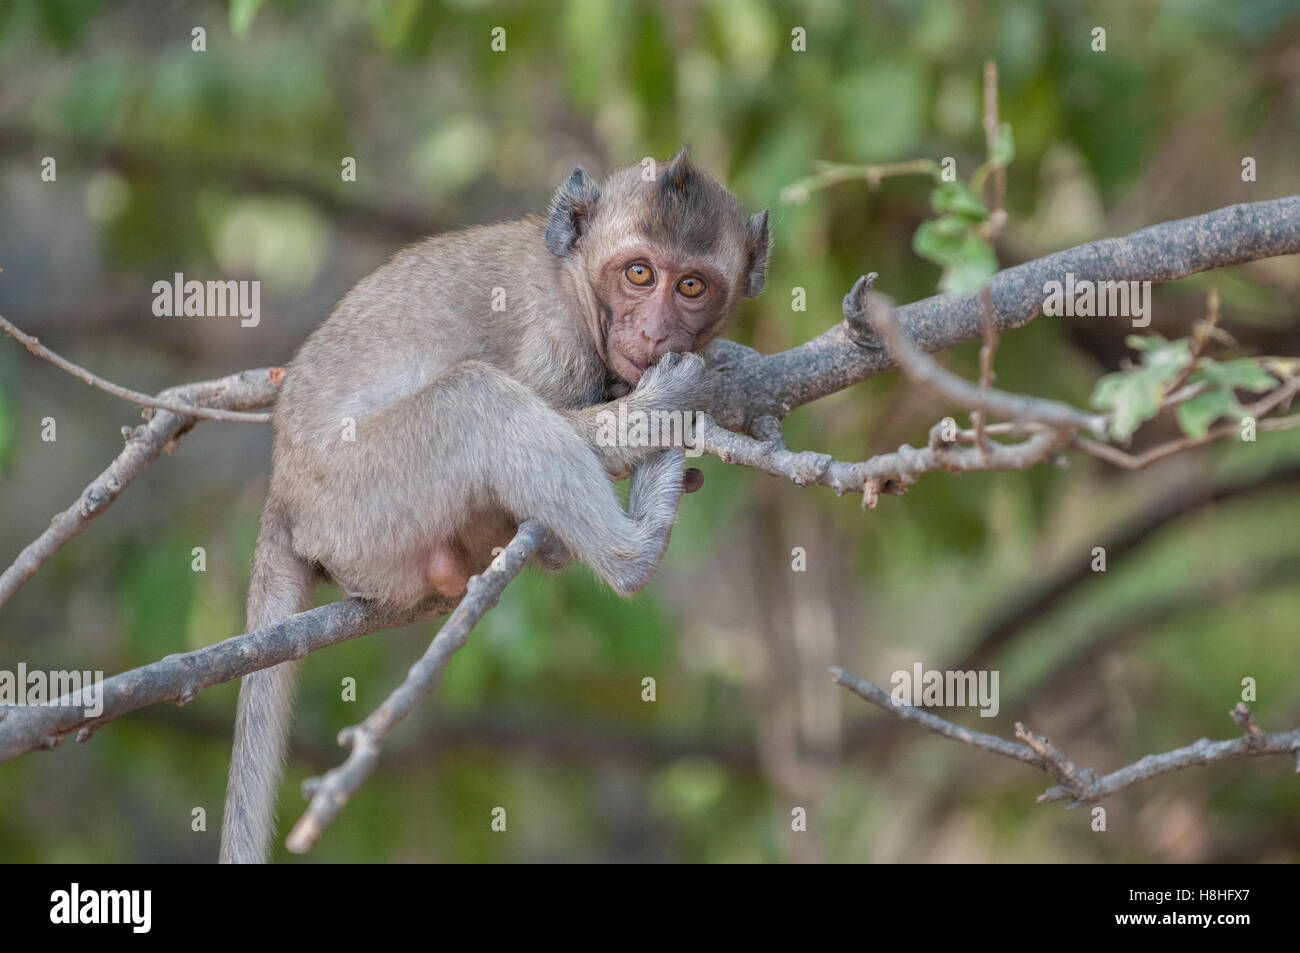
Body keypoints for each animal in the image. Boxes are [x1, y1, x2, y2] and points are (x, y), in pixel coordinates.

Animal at [219, 148, 770, 863]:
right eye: (639, 273)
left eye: (692, 287)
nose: (655, 333)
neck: (573, 280)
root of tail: (283, 492)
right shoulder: (554, 342)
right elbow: (570, 421)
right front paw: (667, 403)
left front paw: (729, 358)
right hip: (357, 497)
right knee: (474, 399)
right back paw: (633, 545)